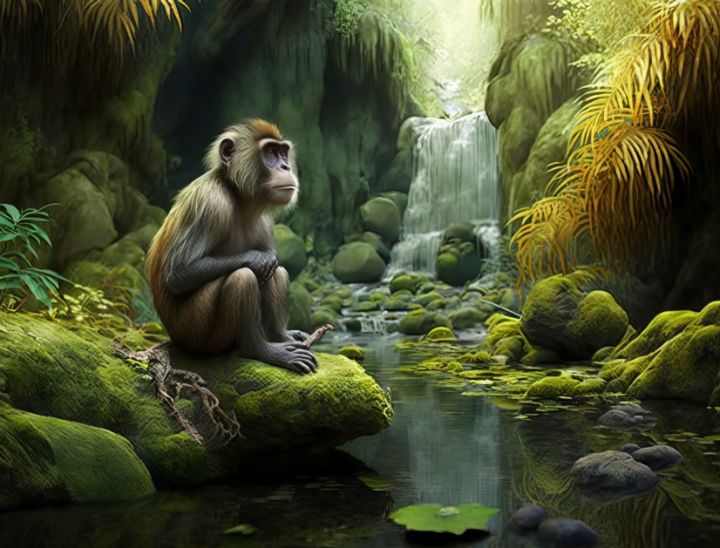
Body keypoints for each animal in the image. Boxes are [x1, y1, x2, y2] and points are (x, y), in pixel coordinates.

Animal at [146, 119, 317, 375]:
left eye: (282, 152)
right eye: (270, 152)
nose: (286, 166)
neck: (238, 195)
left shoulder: (265, 221)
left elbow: (272, 263)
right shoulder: (210, 202)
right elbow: (178, 273)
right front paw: (257, 258)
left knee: (275, 271)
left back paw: (279, 337)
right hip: (195, 332)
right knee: (242, 276)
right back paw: (260, 350)